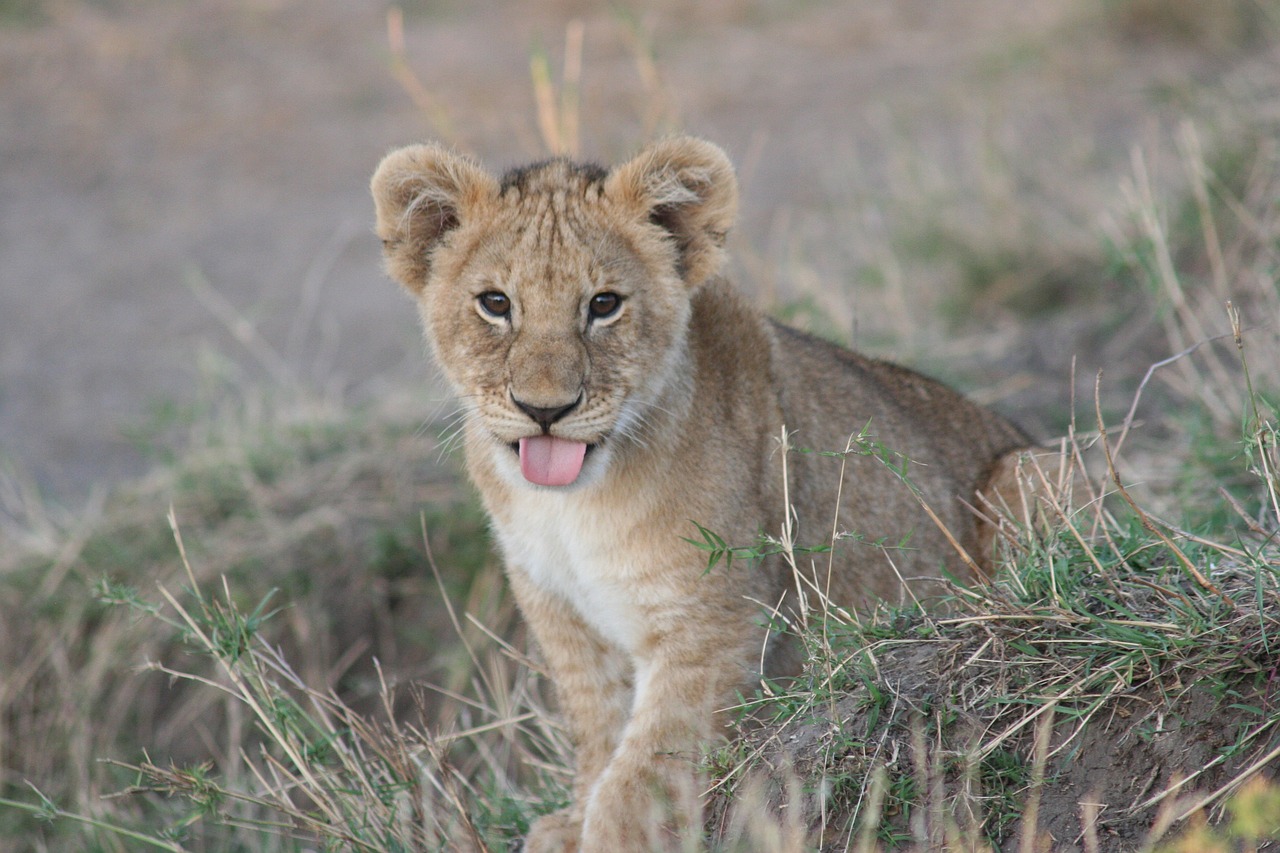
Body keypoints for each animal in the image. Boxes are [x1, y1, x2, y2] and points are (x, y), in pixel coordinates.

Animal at [371, 137, 1029, 851]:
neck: (570, 508)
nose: (545, 410)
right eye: (495, 303)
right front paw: (570, 820)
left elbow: (639, 777)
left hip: (1022, 473)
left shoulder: (716, 625)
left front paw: (603, 831)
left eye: (604, 304)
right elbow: (597, 730)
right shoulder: (561, 612)